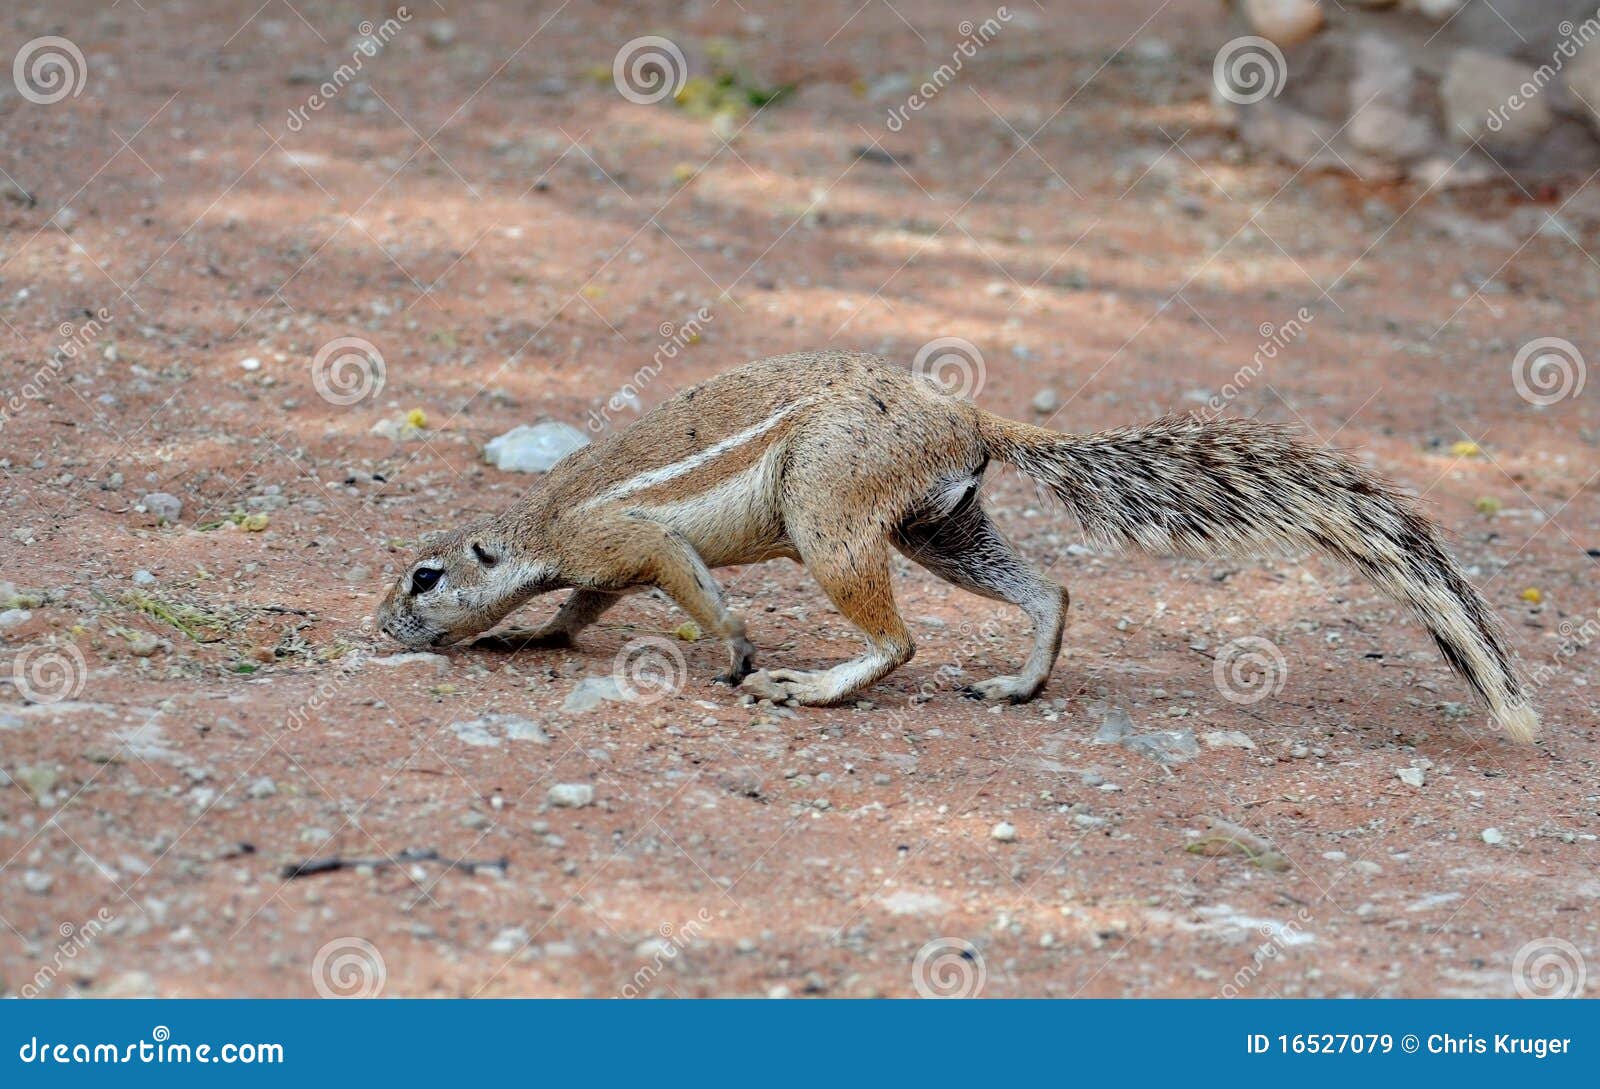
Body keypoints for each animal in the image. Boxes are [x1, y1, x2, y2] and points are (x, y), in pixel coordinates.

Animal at [376, 350, 1539, 742]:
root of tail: (965, 415)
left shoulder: (627, 538)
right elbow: (581, 607)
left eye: (425, 575)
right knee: (1050, 592)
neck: (535, 528)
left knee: (899, 644)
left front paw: (740, 650)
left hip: (829, 512)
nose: (383, 626)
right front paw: (528, 637)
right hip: (942, 525)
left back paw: (811, 687)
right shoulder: (600, 565)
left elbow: (692, 589)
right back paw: (1020, 683)